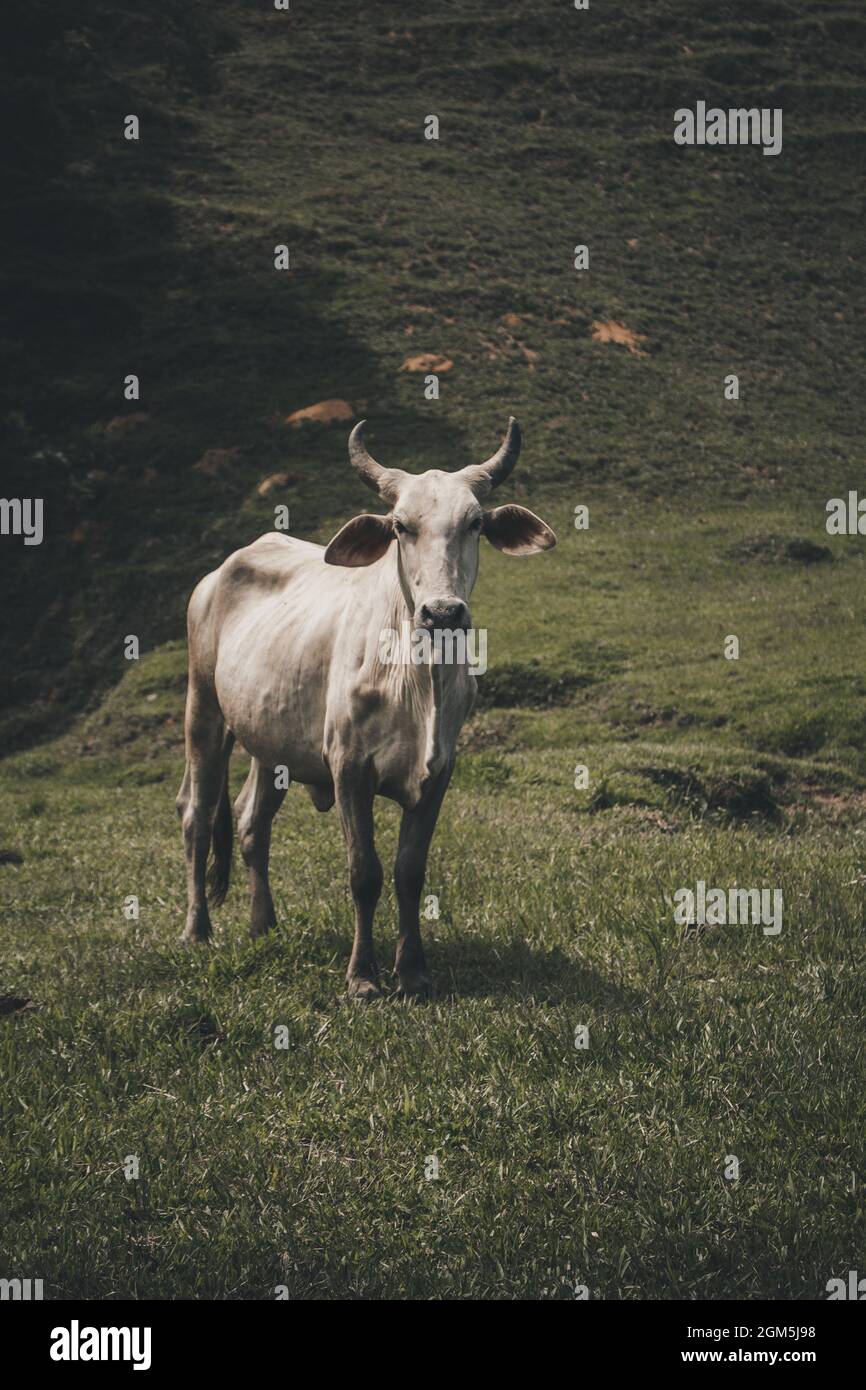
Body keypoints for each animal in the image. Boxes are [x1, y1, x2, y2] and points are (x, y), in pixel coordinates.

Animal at [176, 418, 556, 998]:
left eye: (474, 524)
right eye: (401, 526)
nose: (443, 612)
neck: (417, 682)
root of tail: (218, 573)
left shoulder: (439, 774)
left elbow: (408, 872)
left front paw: (414, 972)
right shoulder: (348, 768)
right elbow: (365, 873)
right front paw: (362, 977)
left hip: (270, 744)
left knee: (251, 822)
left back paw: (264, 926)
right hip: (204, 713)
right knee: (197, 816)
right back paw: (197, 930)